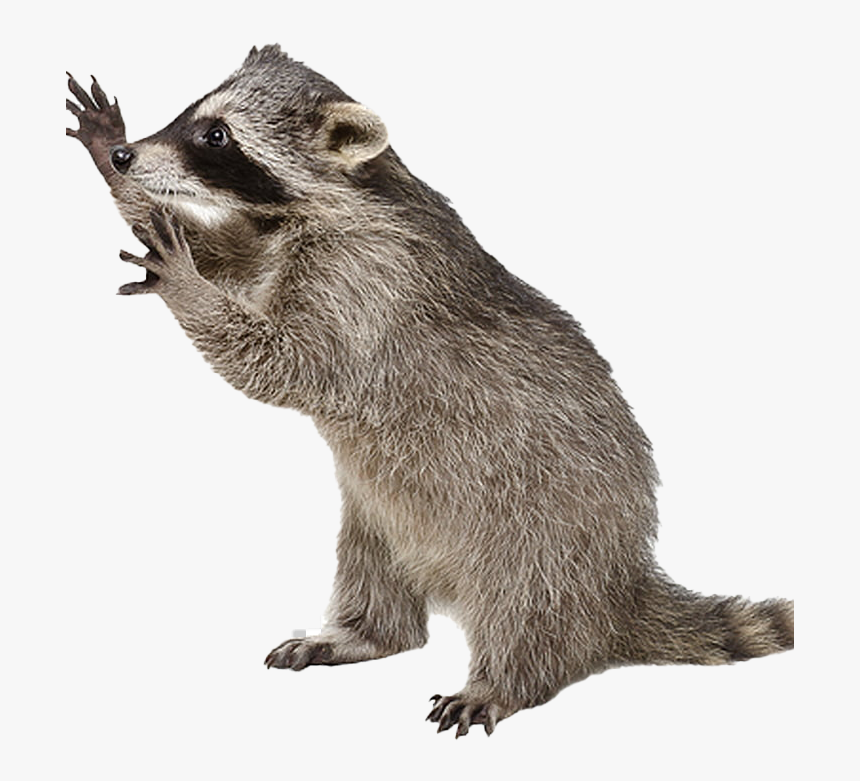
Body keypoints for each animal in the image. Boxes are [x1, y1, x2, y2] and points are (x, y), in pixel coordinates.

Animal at [66, 45, 793, 737]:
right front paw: (116, 168)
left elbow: (291, 364)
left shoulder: (368, 280)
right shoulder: (275, 241)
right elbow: (226, 253)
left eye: (216, 136)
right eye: (192, 113)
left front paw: (187, 283)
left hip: (544, 529)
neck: (328, 200)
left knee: (527, 611)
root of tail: (621, 581)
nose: (130, 156)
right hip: (378, 516)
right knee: (373, 575)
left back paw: (503, 679)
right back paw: (362, 633)